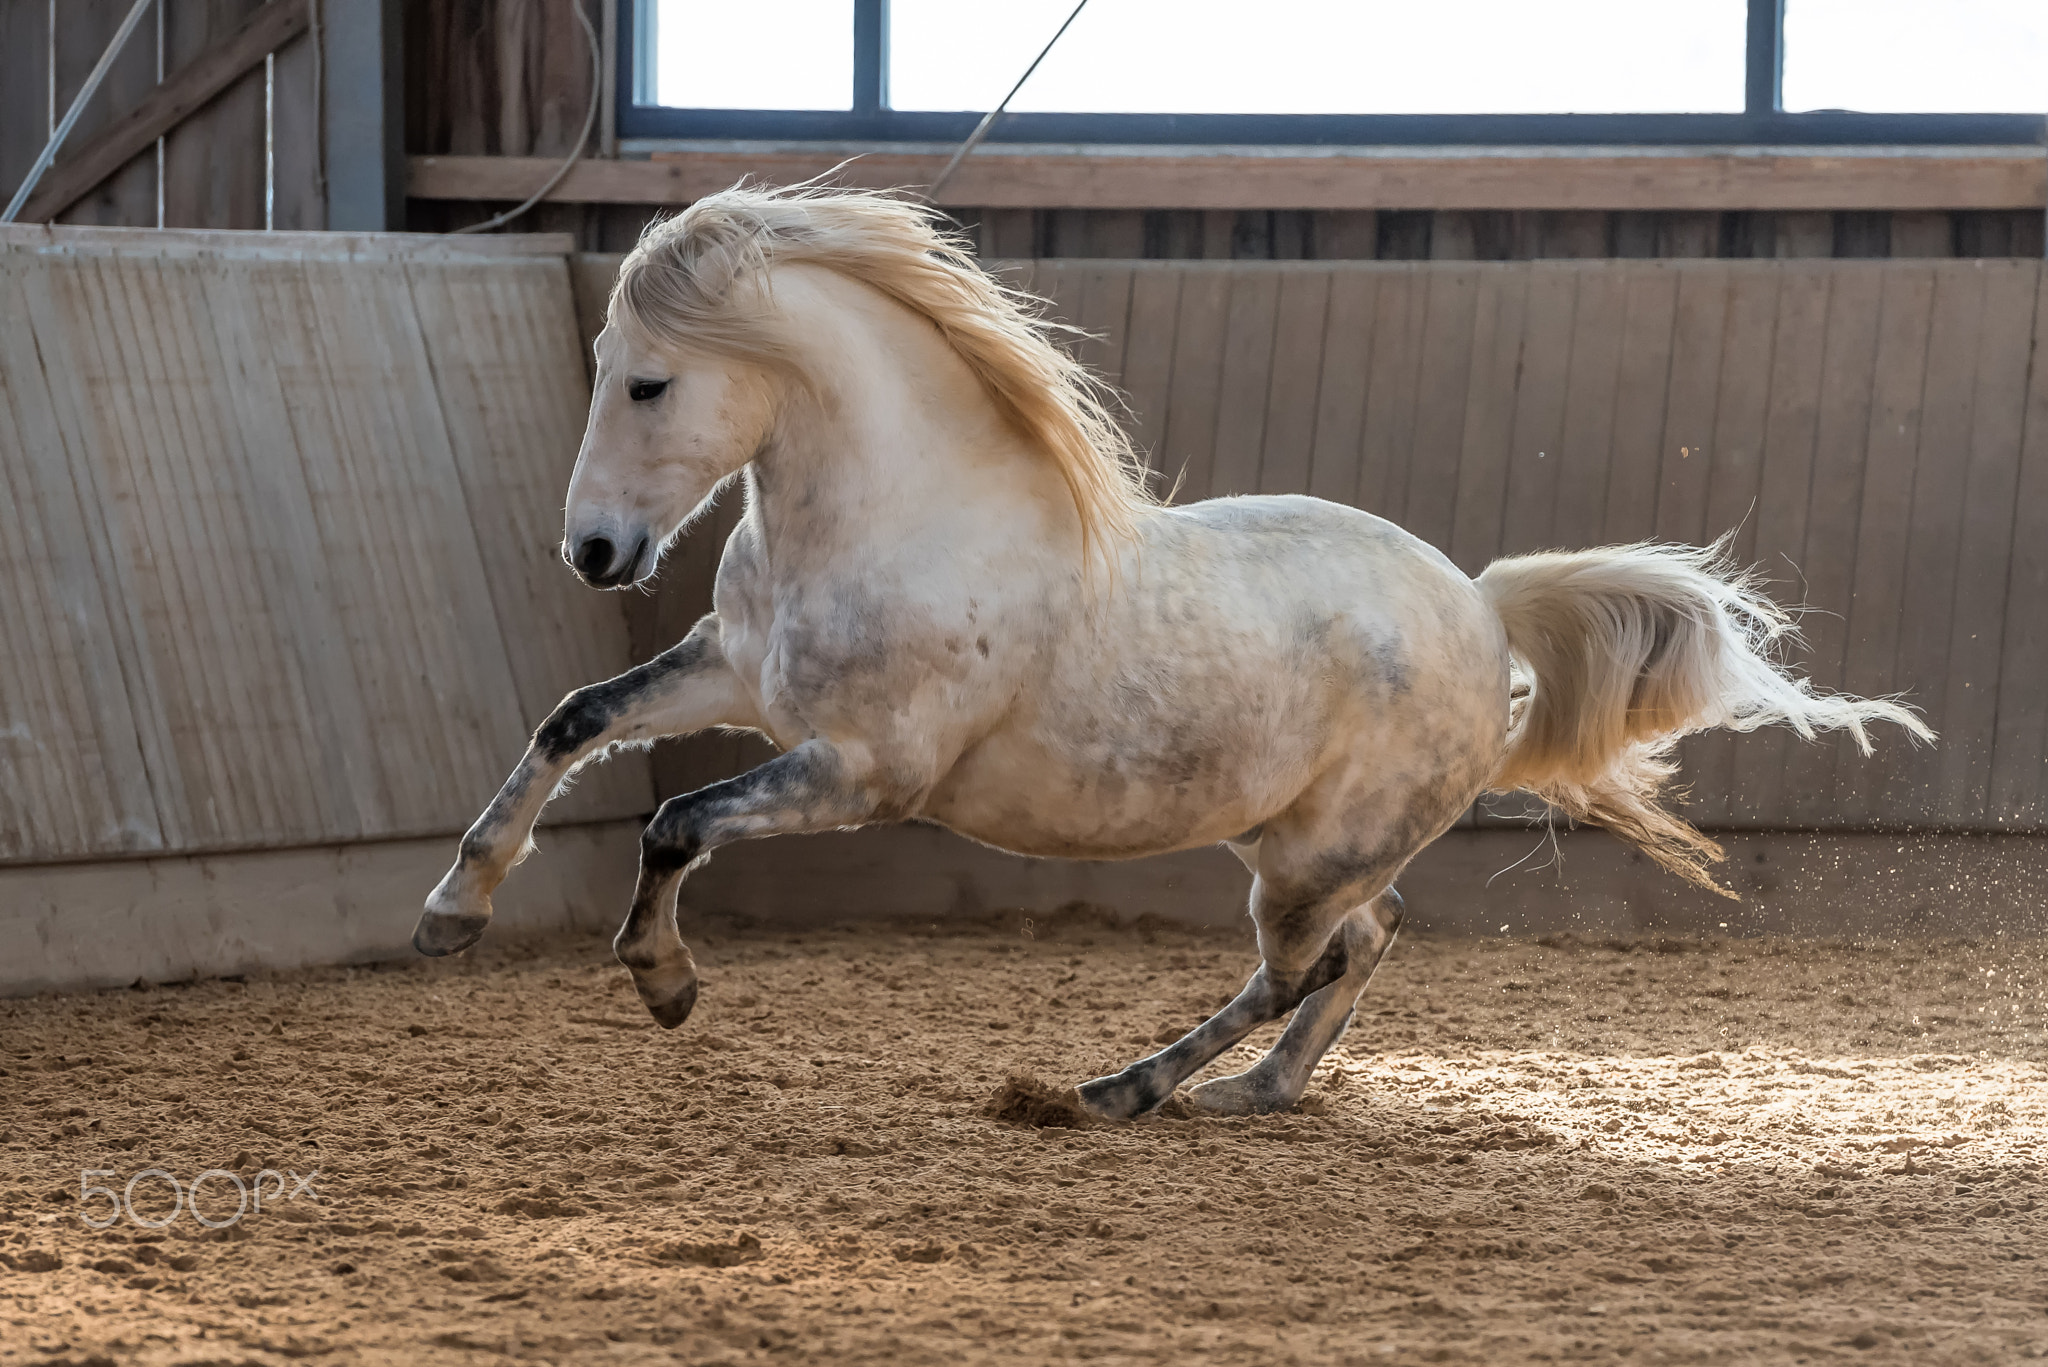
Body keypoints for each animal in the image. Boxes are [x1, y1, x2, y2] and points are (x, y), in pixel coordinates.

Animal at [412, 183, 1931, 1120]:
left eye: (647, 381)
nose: (593, 551)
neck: (895, 515)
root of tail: (1483, 610)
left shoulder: (861, 771)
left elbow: (673, 819)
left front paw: (664, 981)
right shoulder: (734, 675)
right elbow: (571, 718)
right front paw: (450, 911)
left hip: (1308, 853)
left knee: (1297, 964)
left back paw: (1116, 1090)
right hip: (1295, 841)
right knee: (1364, 939)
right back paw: (1255, 1091)